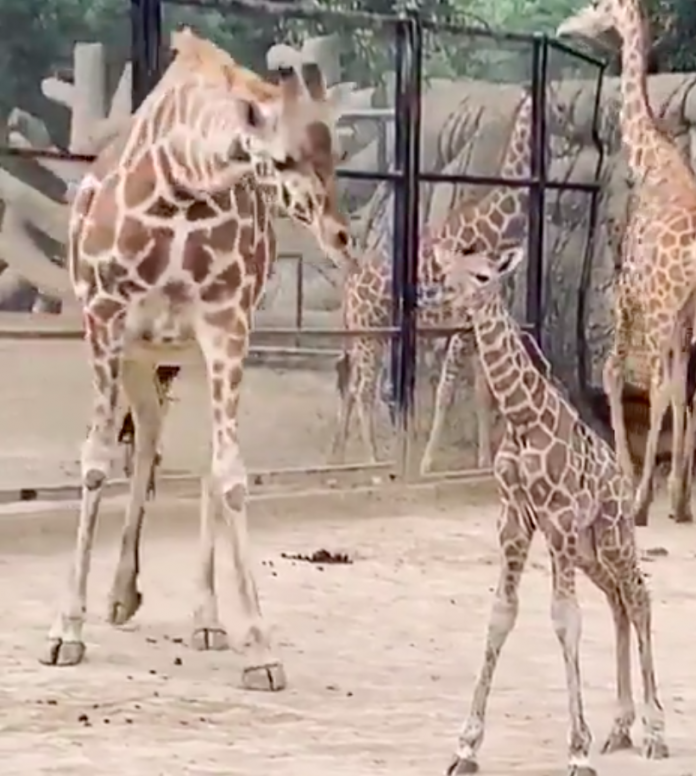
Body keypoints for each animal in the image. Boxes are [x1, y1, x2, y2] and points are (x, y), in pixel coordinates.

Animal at [40, 28, 354, 692]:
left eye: (334, 152)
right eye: (281, 159)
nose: (340, 236)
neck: (178, 186)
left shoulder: (225, 327)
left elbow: (229, 473)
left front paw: (260, 647)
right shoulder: (103, 320)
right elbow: (94, 463)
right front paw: (66, 629)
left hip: (183, 350)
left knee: (185, 450)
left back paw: (202, 618)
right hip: (139, 352)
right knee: (146, 436)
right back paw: (120, 596)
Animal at [328, 84, 568, 473]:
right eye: (554, 104)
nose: (569, 123)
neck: (492, 228)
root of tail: (350, 287)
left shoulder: (476, 324)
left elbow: (484, 391)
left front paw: (483, 461)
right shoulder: (460, 323)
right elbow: (446, 391)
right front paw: (426, 464)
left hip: (367, 332)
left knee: (350, 382)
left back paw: (340, 457)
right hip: (370, 331)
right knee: (362, 389)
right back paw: (375, 463)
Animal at [418, 242, 666, 776]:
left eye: (483, 275)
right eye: (447, 269)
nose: (437, 294)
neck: (522, 417)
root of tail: (623, 479)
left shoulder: (561, 521)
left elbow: (565, 619)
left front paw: (577, 751)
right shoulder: (514, 520)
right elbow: (501, 614)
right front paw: (465, 747)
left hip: (612, 533)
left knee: (638, 599)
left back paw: (656, 732)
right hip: (592, 552)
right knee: (617, 603)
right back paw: (621, 728)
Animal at [557, 0, 696, 527]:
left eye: (598, 6)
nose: (566, 26)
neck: (651, 156)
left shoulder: (631, 293)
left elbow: (615, 374)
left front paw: (632, 480)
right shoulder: (678, 320)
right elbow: (677, 388)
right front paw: (676, 491)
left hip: (658, 313)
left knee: (655, 386)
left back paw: (641, 502)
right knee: (678, 388)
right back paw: (676, 496)